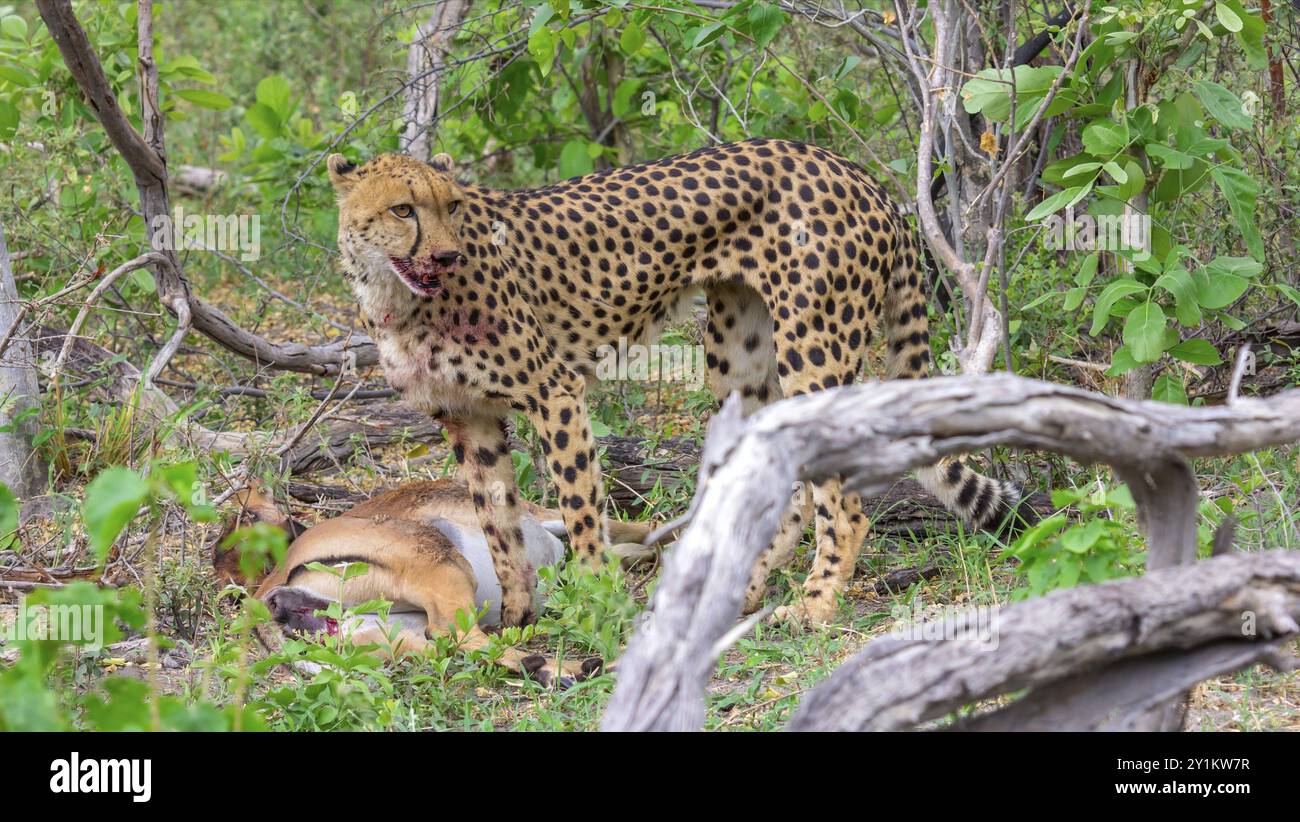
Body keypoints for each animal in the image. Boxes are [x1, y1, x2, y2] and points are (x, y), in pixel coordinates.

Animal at [328, 137, 1024, 628]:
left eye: (452, 206)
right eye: (402, 209)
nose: (446, 254)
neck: (400, 298)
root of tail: (855, 171)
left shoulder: (554, 392)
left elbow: (580, 508)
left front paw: (596, 601)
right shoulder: (469, 420)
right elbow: (498, 525)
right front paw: (521, 617)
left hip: (813, 349)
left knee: (845, 505)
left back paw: (815, 604)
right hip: (737, 358)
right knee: (793, 484)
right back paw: (741, 588)